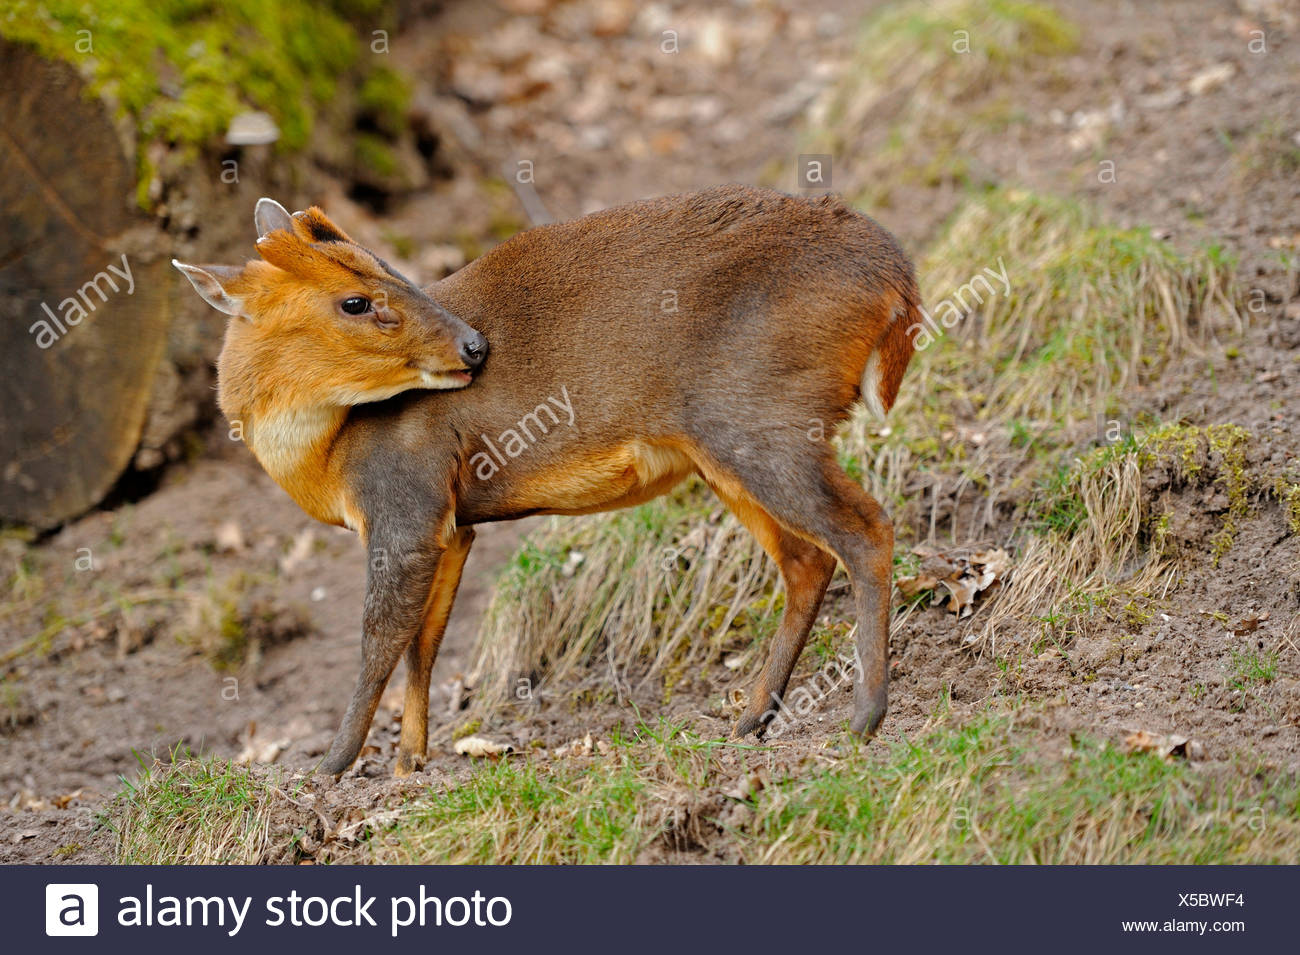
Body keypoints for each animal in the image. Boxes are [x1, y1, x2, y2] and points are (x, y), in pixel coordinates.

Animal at [173, 185, 921, 777]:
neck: (328, 453)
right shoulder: (455, 525)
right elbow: (425, 643)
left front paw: (331, 766)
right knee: (805, 562)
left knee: (866, 529)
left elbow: (379, 640)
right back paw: (750, 721)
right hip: (724, 451)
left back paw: (864, 717)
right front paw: (409, 759)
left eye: (386, 269)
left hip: (764, 419)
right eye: (357, 299)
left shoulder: (407, 499)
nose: (474, 346)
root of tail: (897, 283)